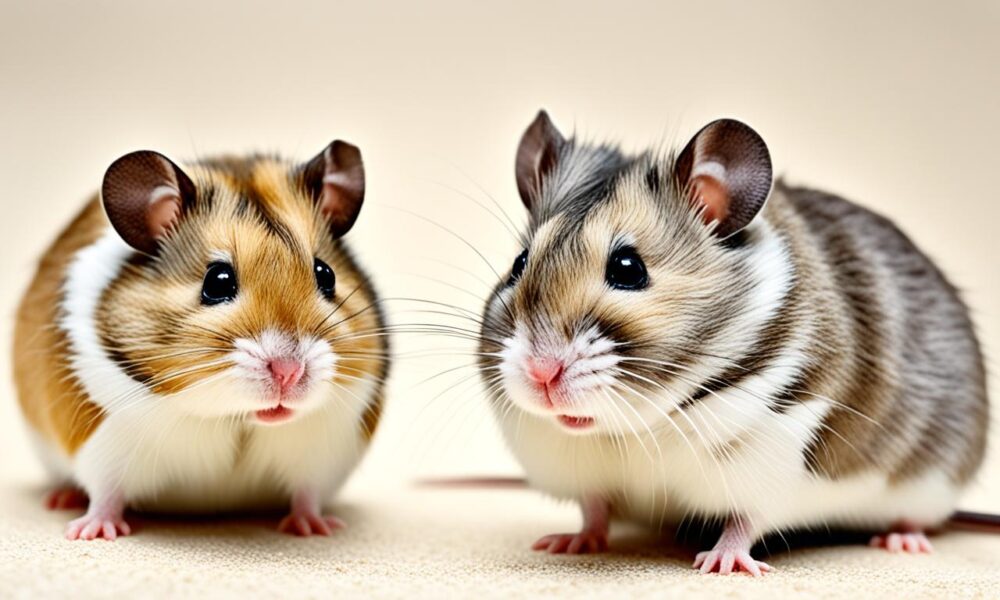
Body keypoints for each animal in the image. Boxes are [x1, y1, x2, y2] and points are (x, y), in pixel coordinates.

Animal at [13, 141, 388, 540]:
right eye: (217, 281)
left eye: (326, 274)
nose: (289, 372)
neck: (238, 419)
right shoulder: (105, 446)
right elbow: (105, 494)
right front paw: (90, 533)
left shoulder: (322, 455)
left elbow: (307, 495)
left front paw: (318, 528)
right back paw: (60, 499)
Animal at [477, 111, 989, 574]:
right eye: (520, 263)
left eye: (628, 268)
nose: (540, 374)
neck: (637, 427)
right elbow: (594, 508)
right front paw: (569, 542)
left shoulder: (774, 459)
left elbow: (746, 520)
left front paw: (722, 563)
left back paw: (902, 540)